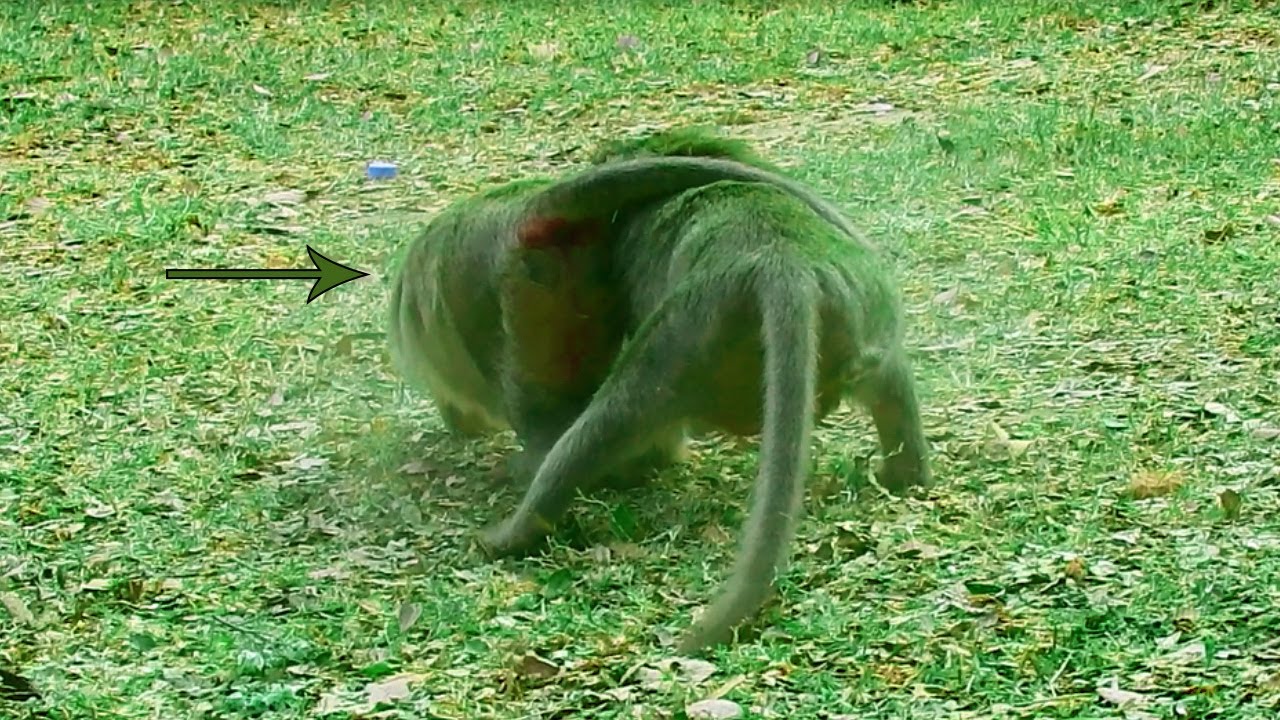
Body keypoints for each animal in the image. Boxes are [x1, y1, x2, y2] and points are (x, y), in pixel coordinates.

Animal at [477, 134, 931, 653]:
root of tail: (783, 265)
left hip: (689, 330)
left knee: (613, 417)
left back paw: (513, 534)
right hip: (862, 309)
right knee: (892, 379)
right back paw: (905, 474)